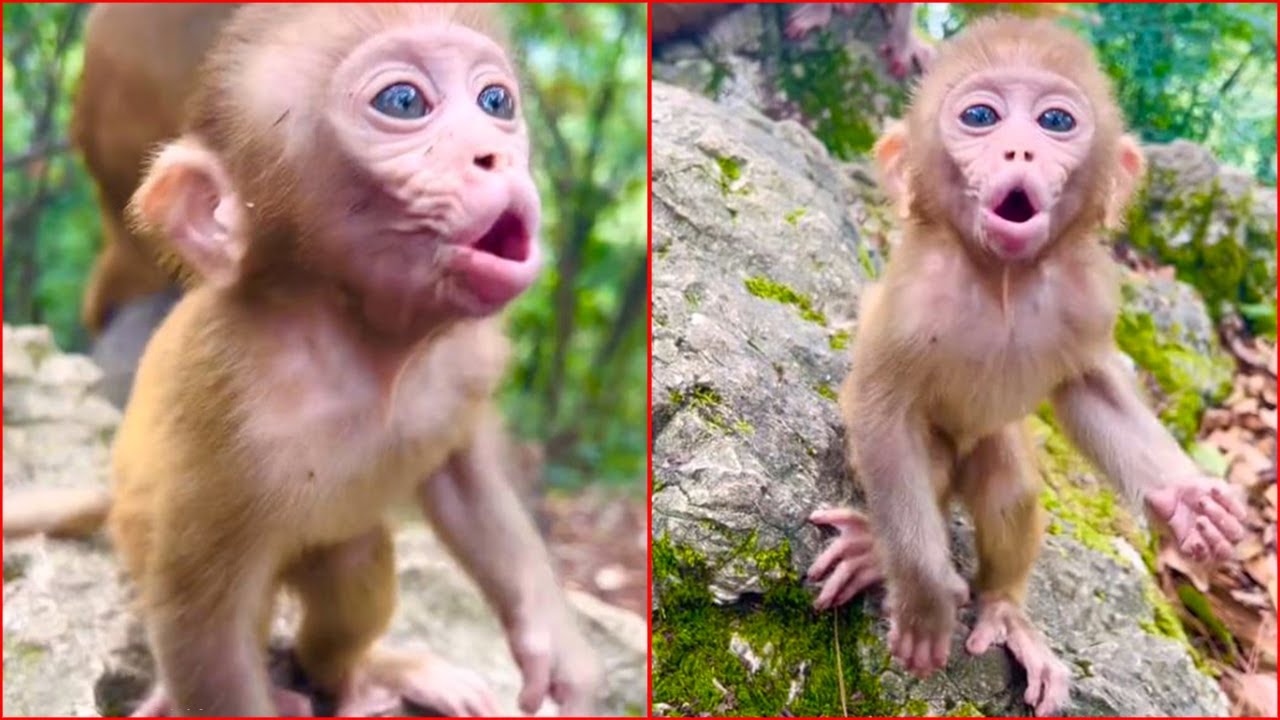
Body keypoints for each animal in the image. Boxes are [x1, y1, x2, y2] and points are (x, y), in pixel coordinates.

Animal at [12, 4, 602, 716]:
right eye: (403, 102)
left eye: (496, 101)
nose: (495, 154)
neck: (364, 346)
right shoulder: (224, 406)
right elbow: (204, 630)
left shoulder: (463, 359)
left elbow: (465, 474)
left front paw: (553, 644)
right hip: (138, 534)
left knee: (352, 563)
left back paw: (365, 676)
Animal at [805, 16, 1246, 716]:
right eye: (981, 116)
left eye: (1056, 121)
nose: (1019, 152)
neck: (1003, 283)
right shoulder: (911, 303)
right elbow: (881, 411)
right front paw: (925, 597)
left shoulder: (1089, 296)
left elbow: (1087, 387)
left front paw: (1185, 499)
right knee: (918, 465)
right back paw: (879, 551)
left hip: (993, 444)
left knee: (1009, 488)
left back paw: (1005, 610)